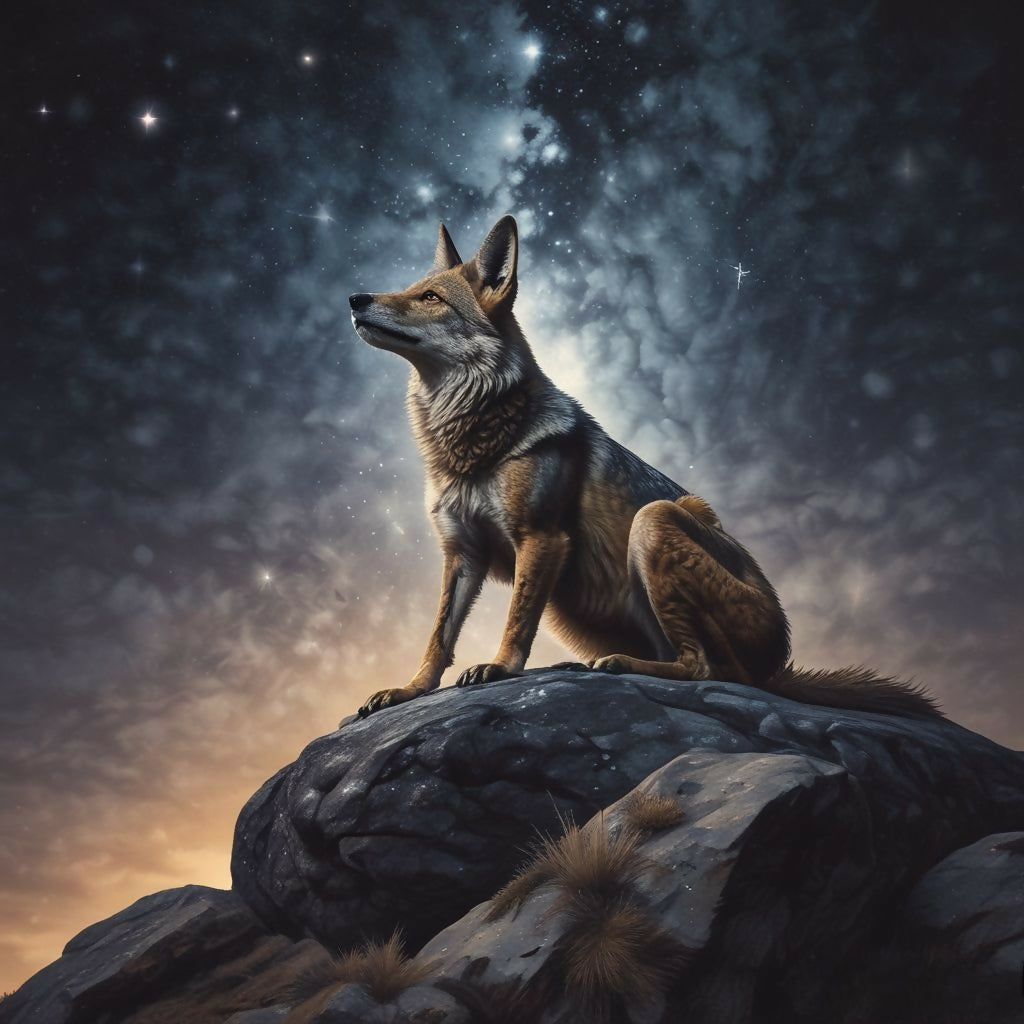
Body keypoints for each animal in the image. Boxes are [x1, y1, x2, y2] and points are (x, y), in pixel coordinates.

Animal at [349, 216, 939, 719]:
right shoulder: (462, 554)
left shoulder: (542, 540)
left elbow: (516, 622)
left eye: (429, 298)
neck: (465, 440)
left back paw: (621, 665)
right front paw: (409, 690)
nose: (355, 297)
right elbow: (437, 637)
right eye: (412, 287)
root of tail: (778, 666)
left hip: (657, 519)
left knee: (706, 669)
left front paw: (497, 668)